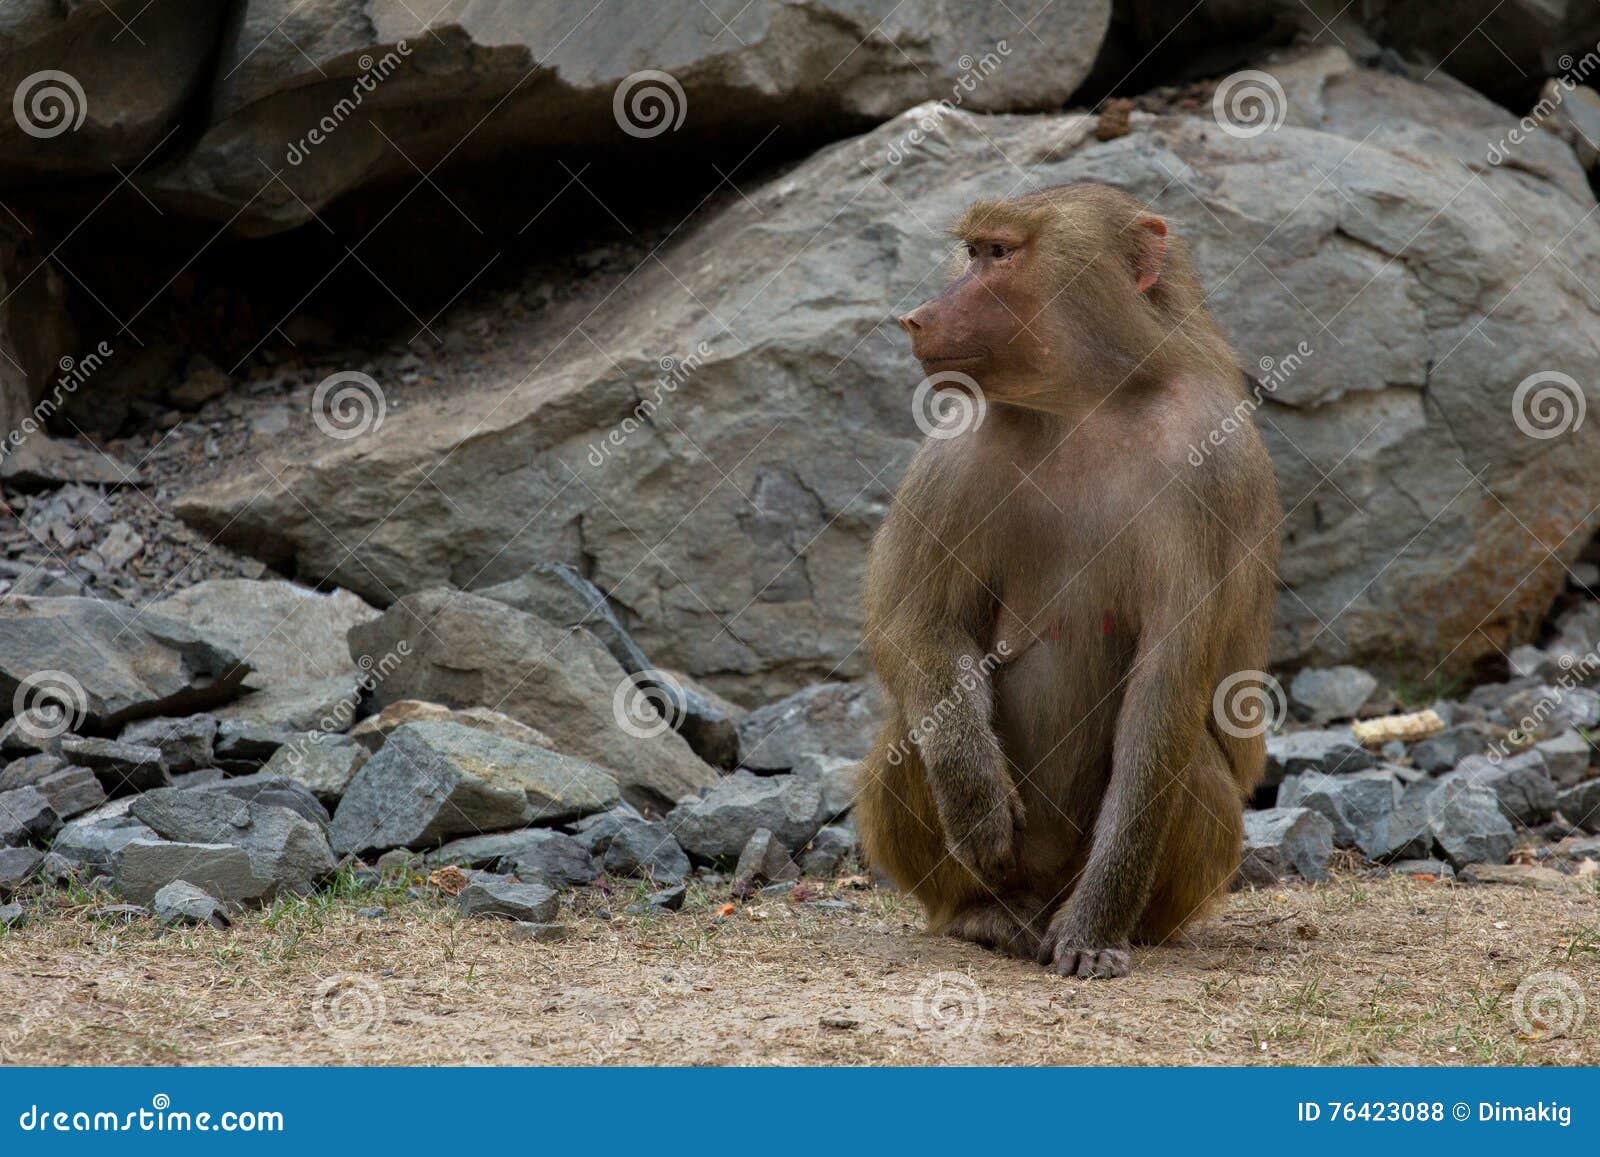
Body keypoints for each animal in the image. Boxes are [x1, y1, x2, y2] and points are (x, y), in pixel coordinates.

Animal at [854, 184, 1280, 979]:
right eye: (973, 250)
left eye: (1000, 253)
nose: (918, 317)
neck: (1089, 404)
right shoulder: (954, 449)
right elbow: (913, 623)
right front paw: (976, 798)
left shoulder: (1213, 461)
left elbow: (1166, 684)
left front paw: (1095, 927)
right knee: (911, 726)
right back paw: (983, 914)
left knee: (1190, 762)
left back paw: (1109, 922)